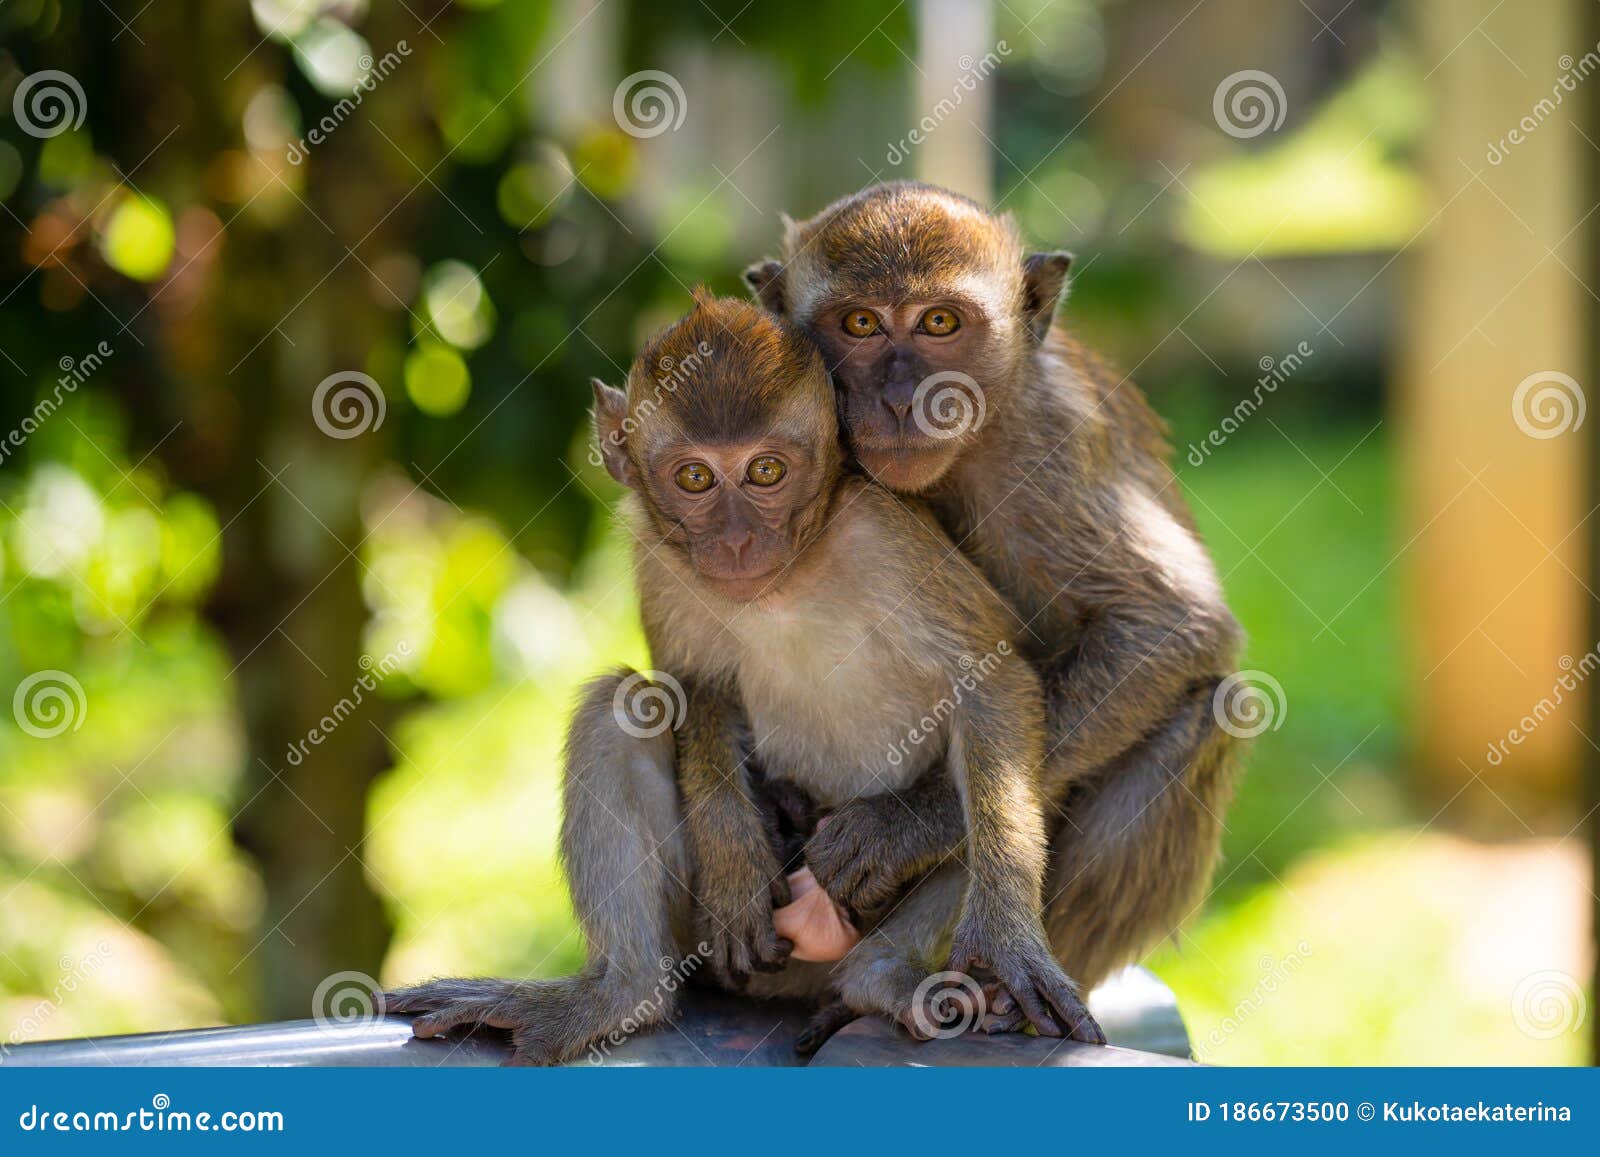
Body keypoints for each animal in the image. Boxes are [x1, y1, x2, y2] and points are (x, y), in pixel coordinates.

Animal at [385, 294, 1105, 1064]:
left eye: (765, 471)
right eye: (695, 478)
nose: (734, 540)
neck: (785, 581)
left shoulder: (884, 533)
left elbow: (992, 683)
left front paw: (1004, 943)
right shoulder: (657, 554)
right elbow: (689, 683)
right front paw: (735, 862)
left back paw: (879, 974)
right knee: (621, 706)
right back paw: (620, 994)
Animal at [742, 181, 1246, 994]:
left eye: (940, 323)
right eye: (860, 323)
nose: (903, 397)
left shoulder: (1055, 439)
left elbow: (1170, 622)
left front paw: (906, 825)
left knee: (1209, 706)